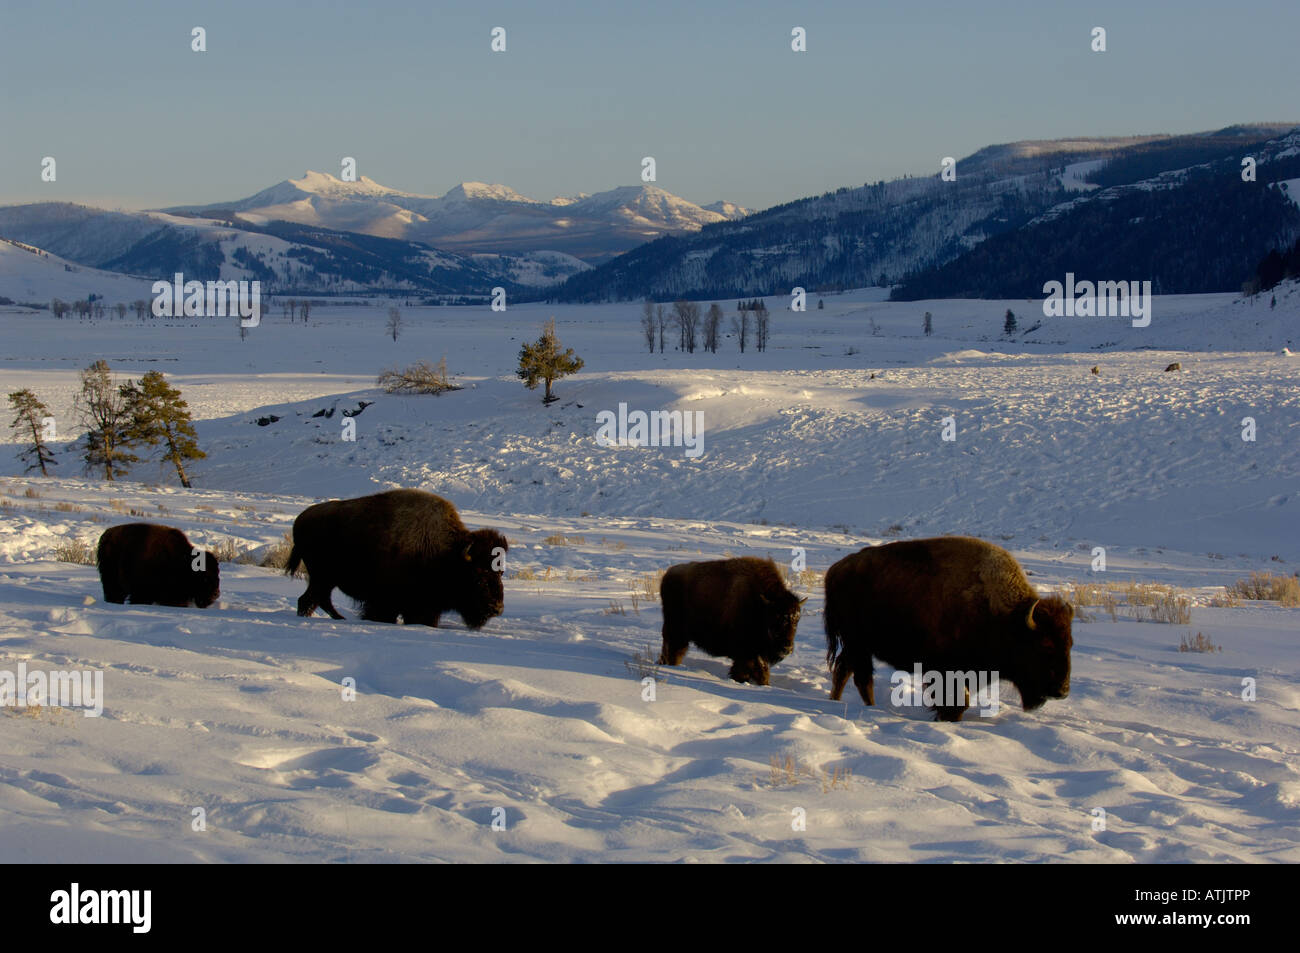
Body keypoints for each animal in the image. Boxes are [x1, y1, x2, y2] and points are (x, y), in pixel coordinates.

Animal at [287, 488, 508, 629]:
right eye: (479, 574)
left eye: (500, 573)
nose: (496, 608)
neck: (448, 553)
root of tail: (301, 519)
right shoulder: (387, 603)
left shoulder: (425, 608)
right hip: (321, 577)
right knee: (308, 600)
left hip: (325, 580)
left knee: (318, 600)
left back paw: (339, 619)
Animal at [658, 557, 806, 685]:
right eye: (776, 617)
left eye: (797, 620)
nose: (787, 648)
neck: (761, 605)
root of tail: (667, 575)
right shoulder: (746, 653)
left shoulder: (756, 652)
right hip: (675, 631)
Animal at [824, 536, 1073, 721]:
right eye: (1045, 645)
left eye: (1069, 643)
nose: (1062, 691)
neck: (1009, 619)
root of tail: (836, 569)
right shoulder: (946, 672)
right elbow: (956, 703)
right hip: (857, 643)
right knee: (859, 677)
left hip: (858, 645)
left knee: (846, 672)